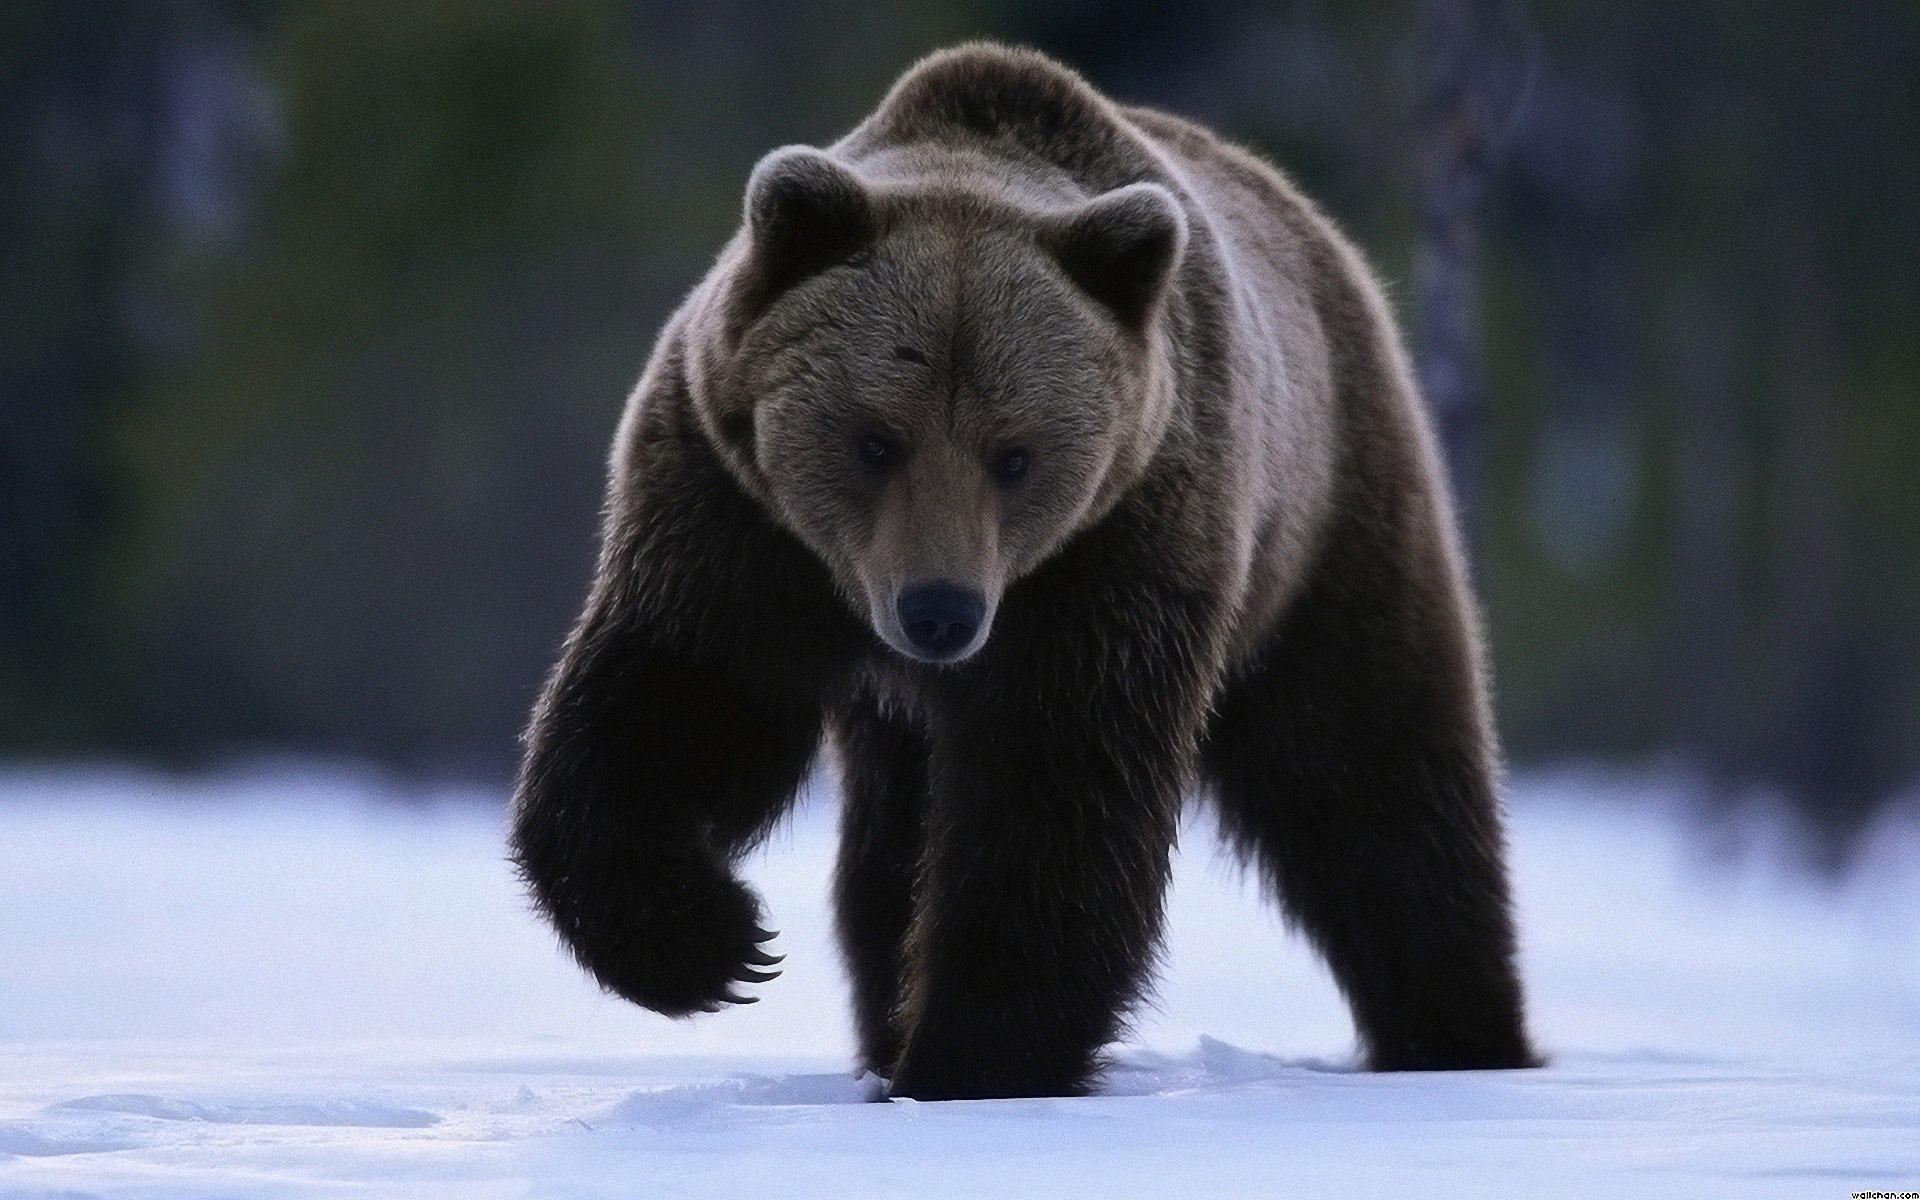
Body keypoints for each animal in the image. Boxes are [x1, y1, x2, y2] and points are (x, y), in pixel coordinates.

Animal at [506, 44, 1528, 1098]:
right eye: (877, 439)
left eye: (1016, 454)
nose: (940, 611)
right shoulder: (734, 519)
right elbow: (677, 703)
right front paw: (711, 945)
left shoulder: (1117, 552)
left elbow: (1055, 796)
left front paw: (970, 1057)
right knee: (888, 851)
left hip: (1328, 524)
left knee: (1372, 778)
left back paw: (1458, 1033)